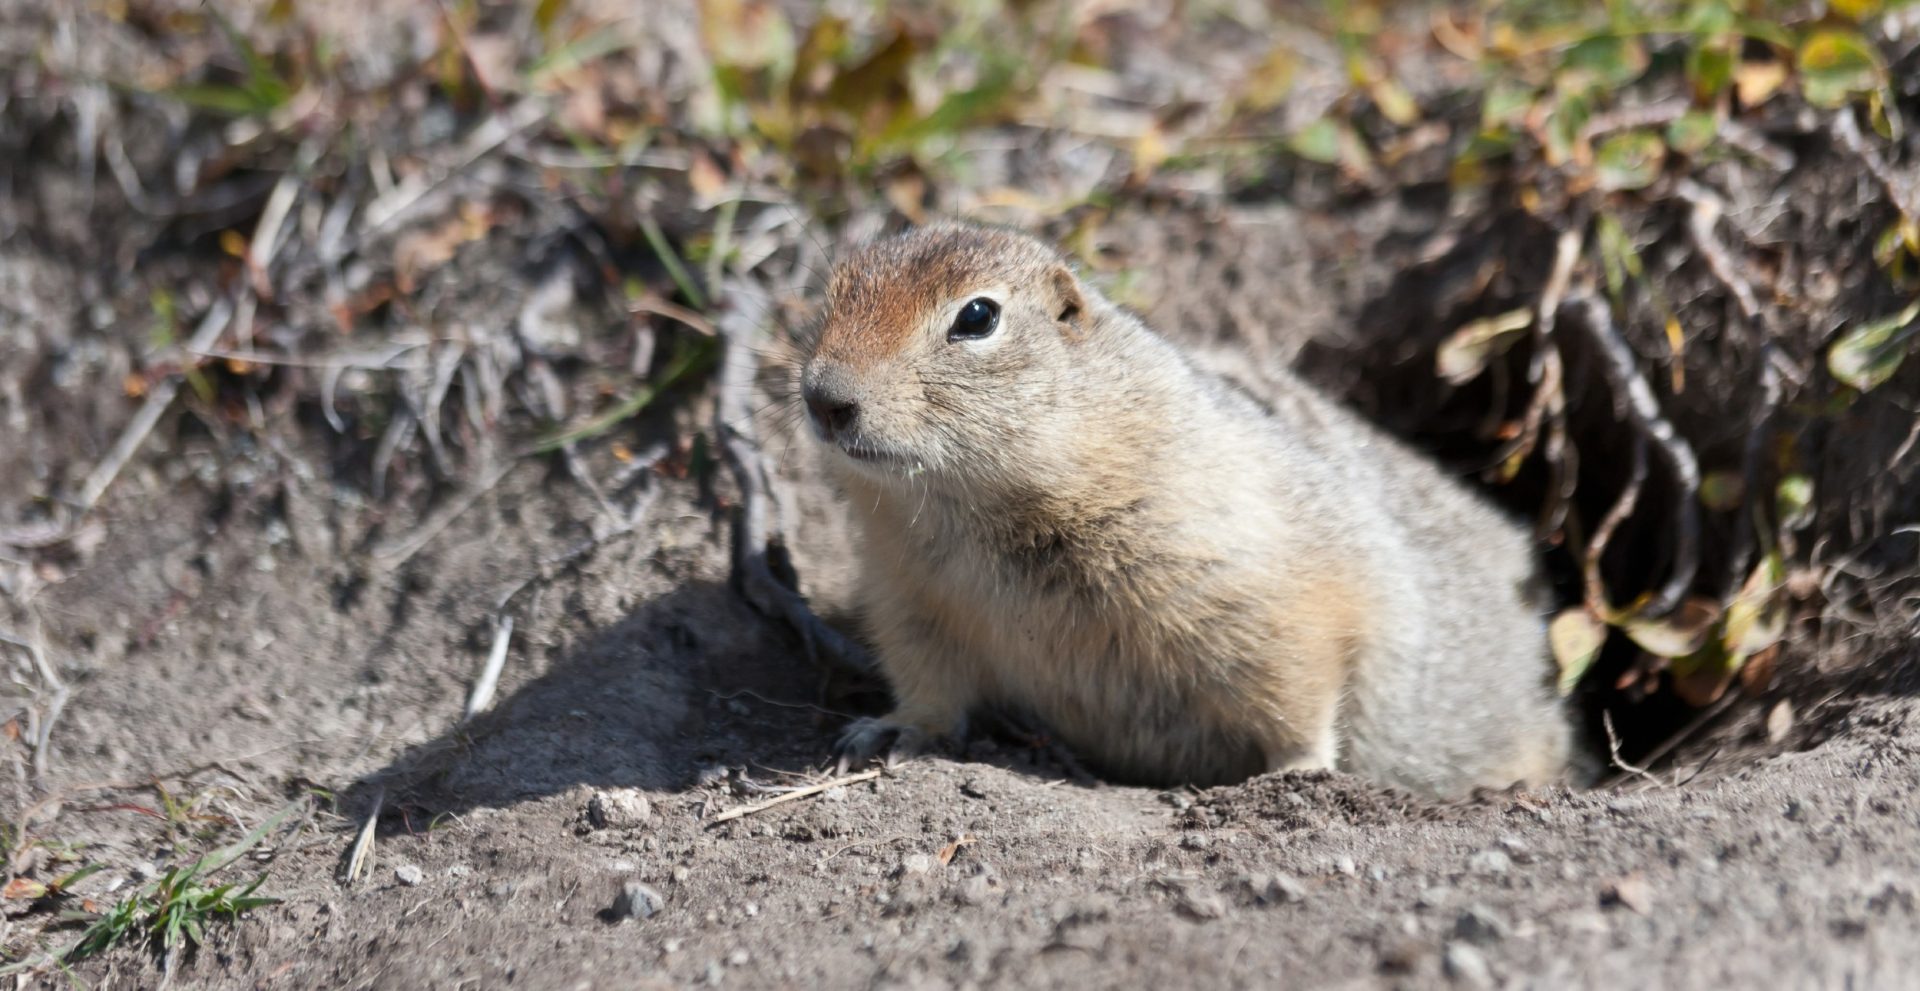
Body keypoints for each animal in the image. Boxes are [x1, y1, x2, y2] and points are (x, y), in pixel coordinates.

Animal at [796, 220, 1576, 798]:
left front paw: (1298, 774)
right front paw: (893, 729)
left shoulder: (1264, 590)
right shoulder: (908, 598)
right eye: (833, 291)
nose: (824, 399)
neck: (970, 511)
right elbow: (928, 684)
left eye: (978, 316)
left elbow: (1298, 690)